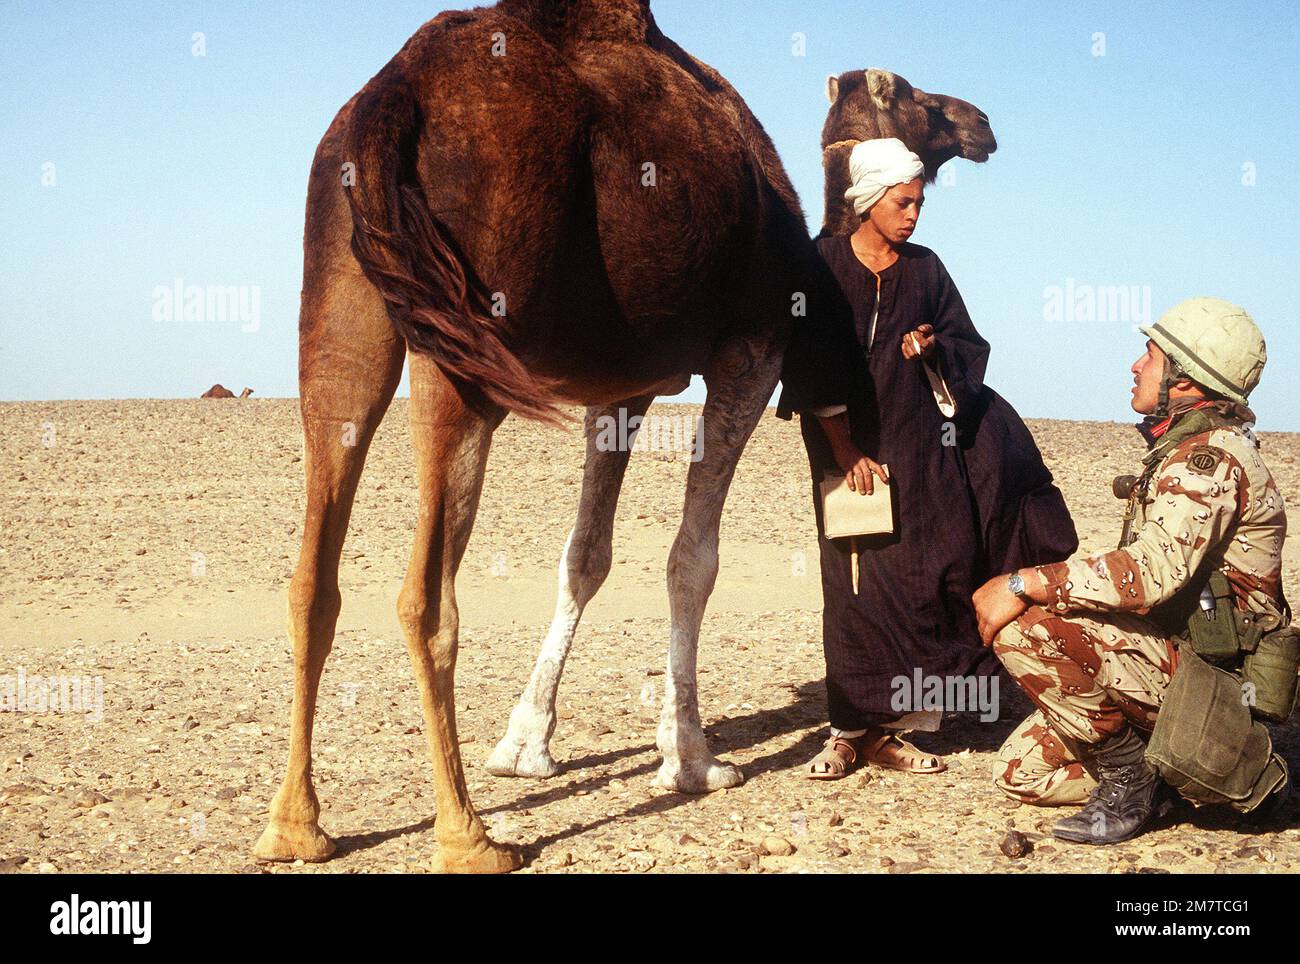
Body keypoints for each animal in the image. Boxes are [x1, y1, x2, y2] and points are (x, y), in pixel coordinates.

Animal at [254, 0, 996, 875]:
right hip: (467, 323)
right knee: (424, 595)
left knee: (313, 568)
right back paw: (469, 835)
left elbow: (586, 555)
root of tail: (391, 94)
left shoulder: (625, 389)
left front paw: (527, 745)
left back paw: (296, 826)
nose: (980, 123)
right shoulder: (753, 350)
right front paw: (692, 758)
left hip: (344, 301)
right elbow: (692, 560)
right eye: (917, 98)